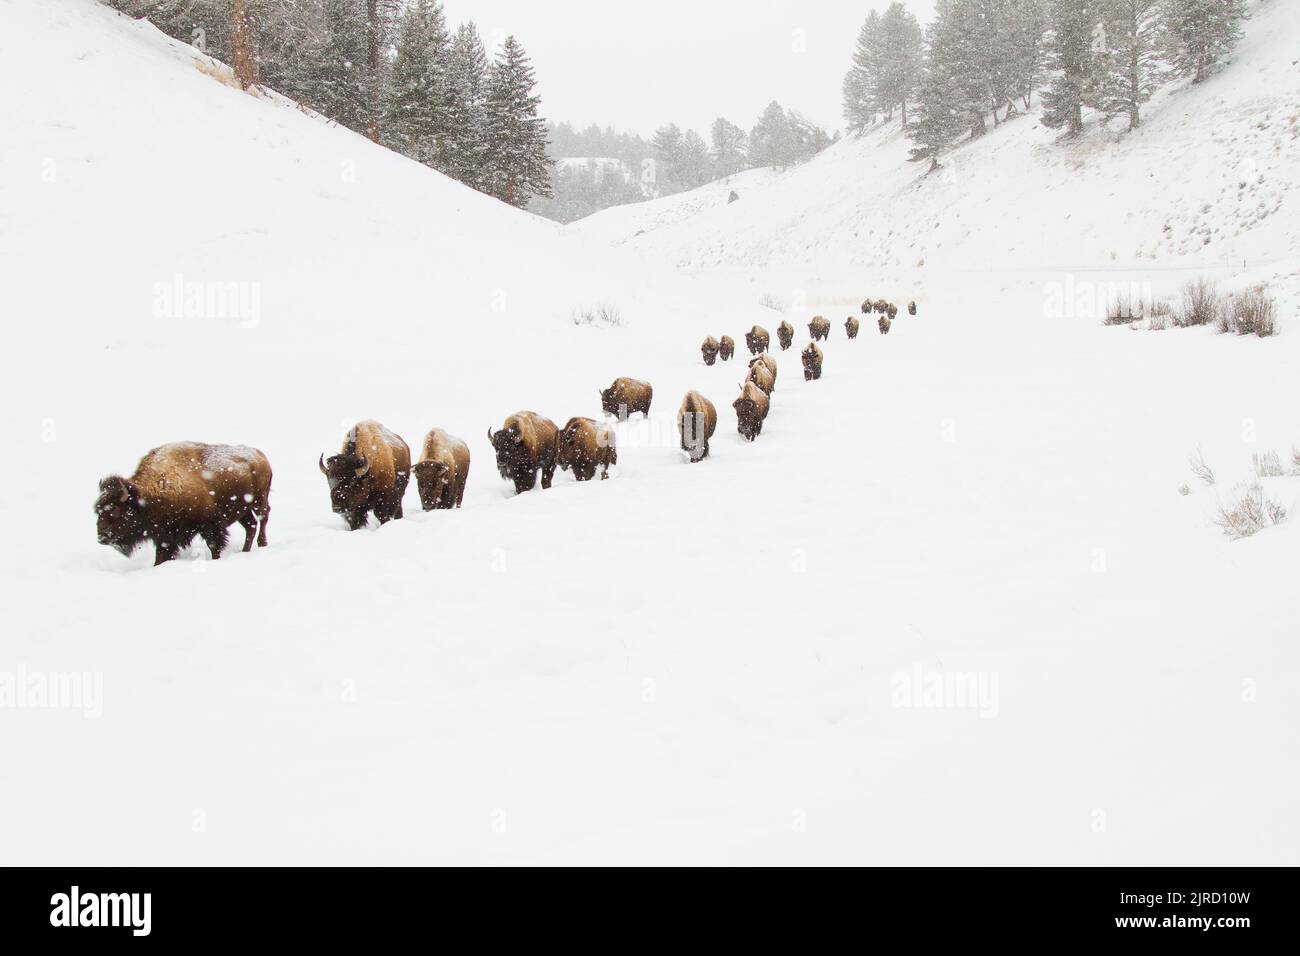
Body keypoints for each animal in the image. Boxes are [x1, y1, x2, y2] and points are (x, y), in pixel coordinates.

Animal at [95, 442, 272, 565]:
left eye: (115, 511)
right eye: (98, 511)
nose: (101, 537)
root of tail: (261, 456)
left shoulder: (211, 525)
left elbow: (214, 546)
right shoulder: (165, 537)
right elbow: (161, 556)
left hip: (259, 500)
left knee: (262, 519)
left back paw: (262, 544)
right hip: (243, 510)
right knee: (251, 526)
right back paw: (245, 551)